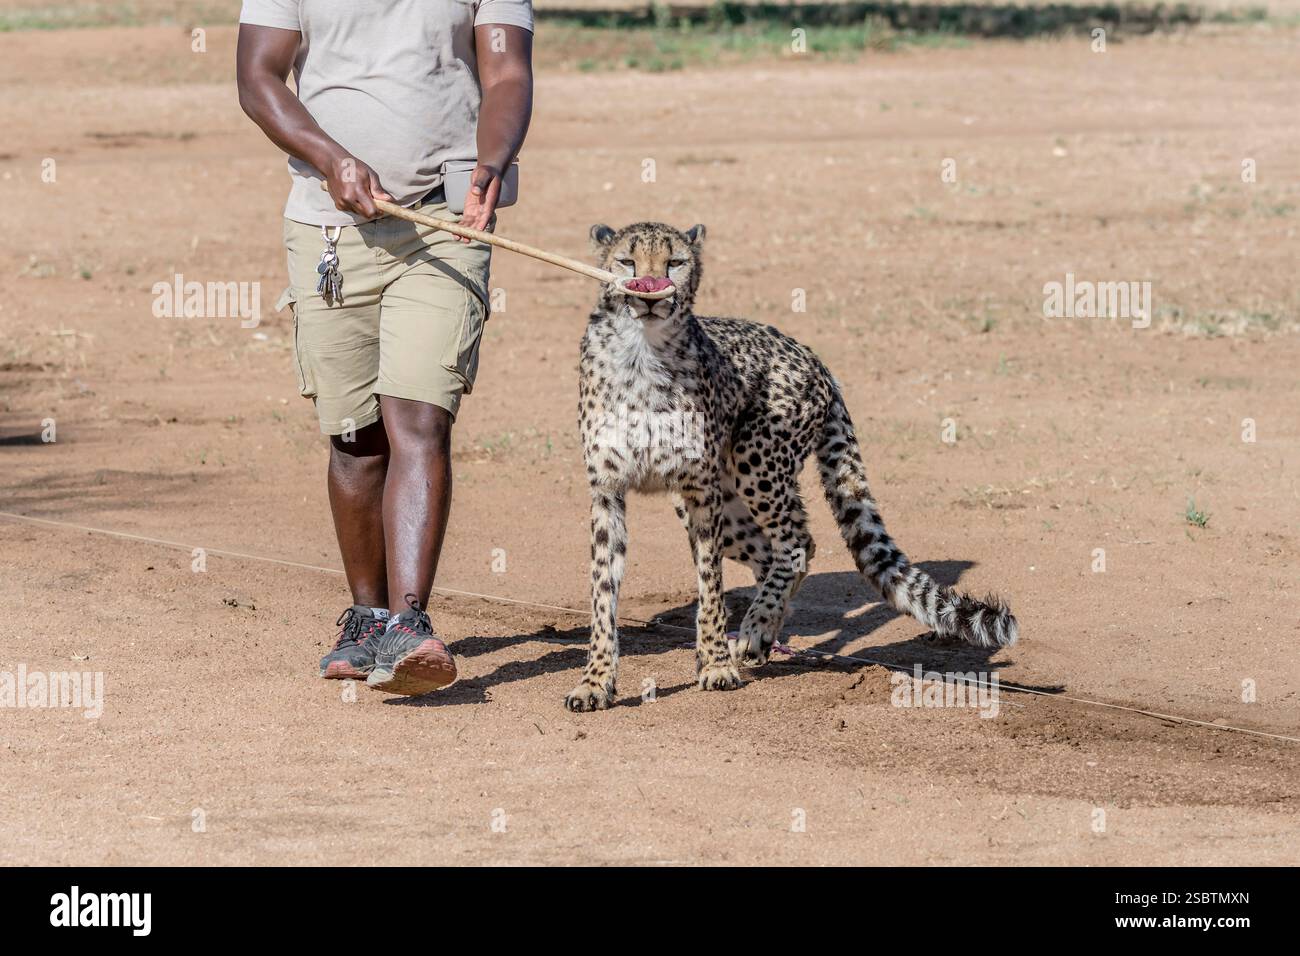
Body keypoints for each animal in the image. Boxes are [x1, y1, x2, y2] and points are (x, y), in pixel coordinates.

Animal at [565, 221, 1018, 712]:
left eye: (675, 263)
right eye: (627, 262)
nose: (649, 292)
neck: (641, 352)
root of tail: (808, 352)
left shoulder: (701, 493)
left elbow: (710, 587)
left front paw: (716, 665)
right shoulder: (609, 492)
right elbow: (603, 594)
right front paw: (596, 681)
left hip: (755, 464)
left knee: (798, 541)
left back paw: (755, 630)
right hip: (721, 495)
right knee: (776, 552)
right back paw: (763, 633)